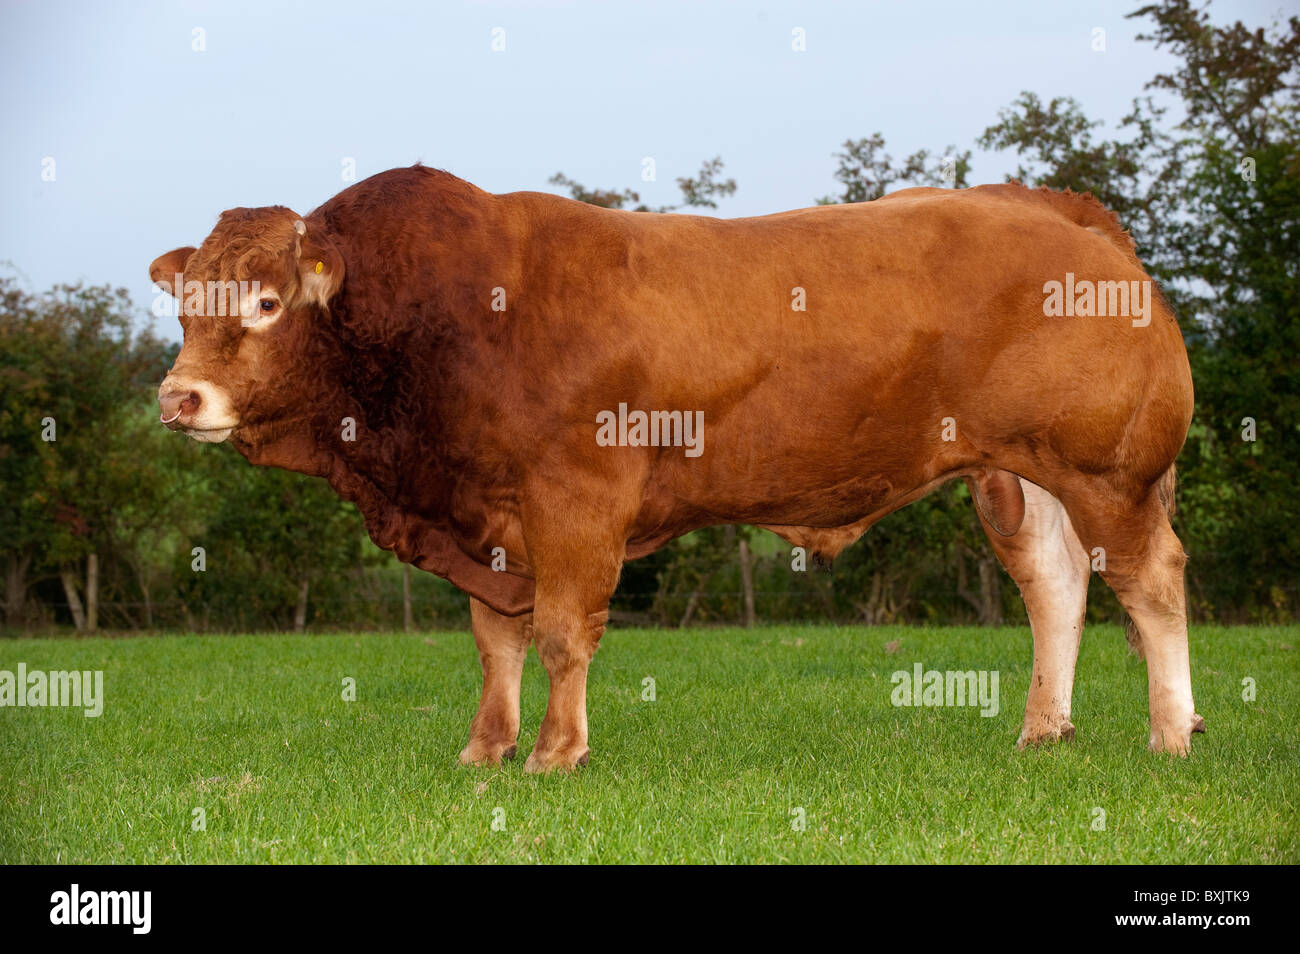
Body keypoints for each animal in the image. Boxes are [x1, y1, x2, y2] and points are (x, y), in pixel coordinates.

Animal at [151, 164, 1201, 773]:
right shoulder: (487, 521)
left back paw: (1171, 732)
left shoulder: (575, 498)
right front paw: (485, 749)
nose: (178, 398)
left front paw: (556, 754)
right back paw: (1043, 730)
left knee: (1151, 582)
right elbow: (497, 641)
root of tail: (1049, 205)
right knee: (1056, 585)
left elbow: (562, 633)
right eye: (186, 304)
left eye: (267, 301)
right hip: (1015, 478)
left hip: (1106, 472)